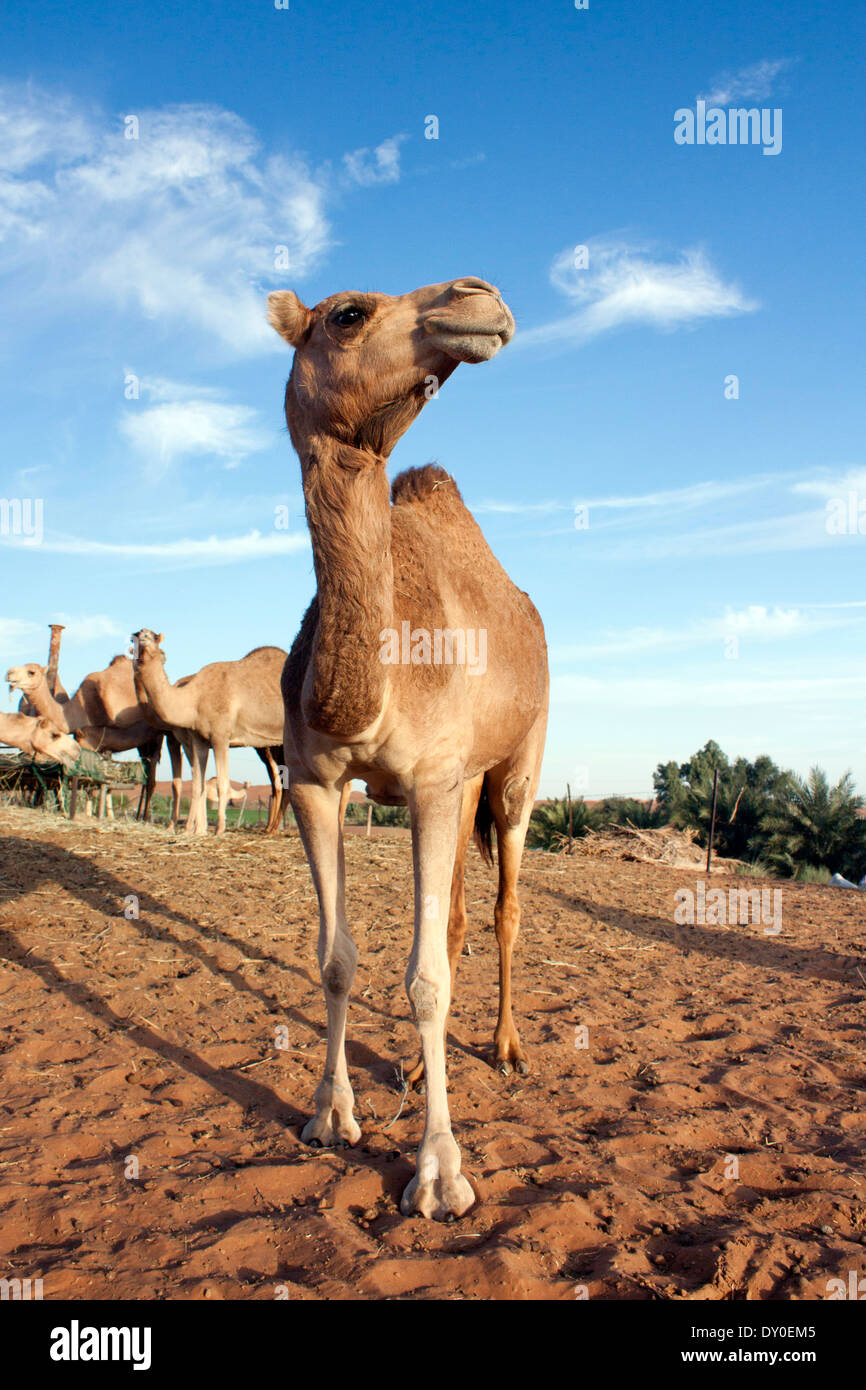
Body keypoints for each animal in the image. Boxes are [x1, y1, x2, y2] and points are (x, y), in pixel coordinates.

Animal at [131, 634, 288, 835]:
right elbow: (198, 783)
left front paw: (217, 829)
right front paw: (196, 829)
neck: (193, 698)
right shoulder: (198, 739)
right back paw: (273, 828)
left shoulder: (218, 736)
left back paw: (274, 828)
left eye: (151, 636)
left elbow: (220, 784)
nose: (139, 636)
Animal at [268, 275, 548, 1219]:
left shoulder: (431, 782)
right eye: (348, 314)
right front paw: (329, 1114)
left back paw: (506, 1048)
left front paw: (440, 1173)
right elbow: (335, 960)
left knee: (501, 908)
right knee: (458, 914)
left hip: (515, 768)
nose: (480, 297)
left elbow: (425, 980)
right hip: (462, 787)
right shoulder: (316, 780)